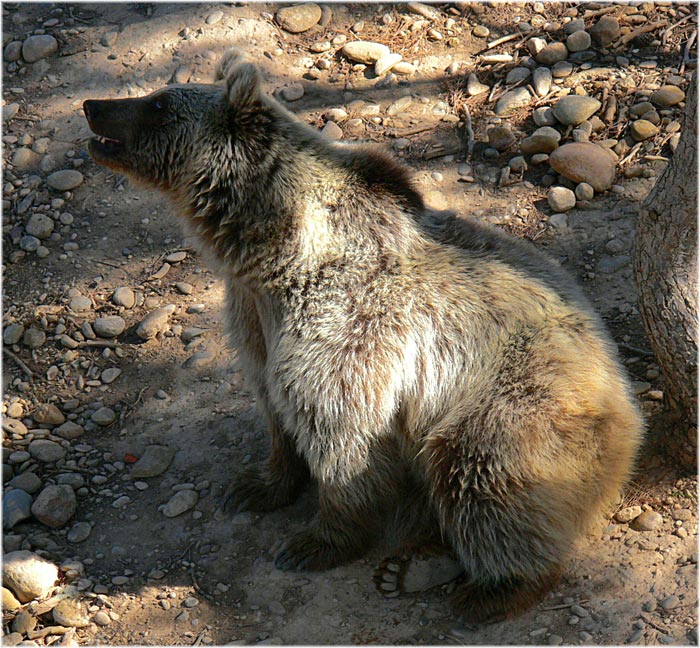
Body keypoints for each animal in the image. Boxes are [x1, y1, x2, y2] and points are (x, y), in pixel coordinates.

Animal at [83, 48, 644, 622]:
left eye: (157, 104)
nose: (92, 106)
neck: (275, 256)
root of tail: (628, 410)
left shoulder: (351, 331)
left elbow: (342, 434)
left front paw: (314, 542)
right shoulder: (254, 321)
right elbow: (274, 408)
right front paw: (256, 485)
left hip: (522, 401)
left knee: (481, 472)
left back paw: (491, 590)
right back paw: (415, 566)